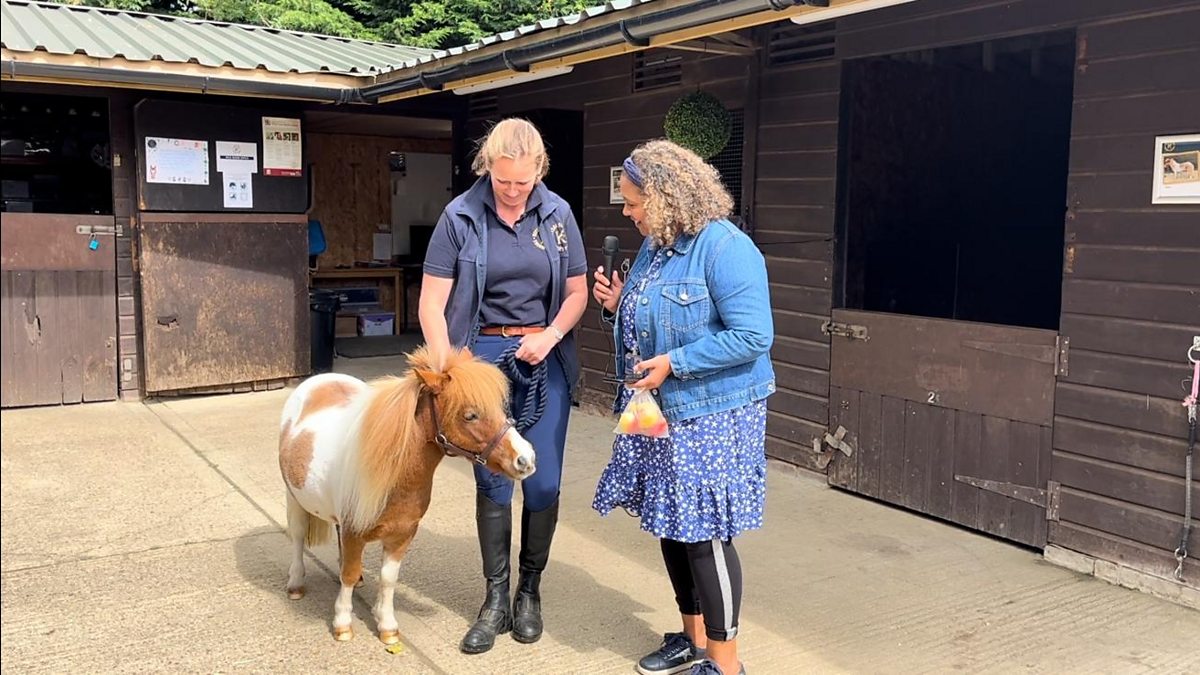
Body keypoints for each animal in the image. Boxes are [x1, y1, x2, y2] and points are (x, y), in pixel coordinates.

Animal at [277, 345, 536, 644]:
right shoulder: (354, 531)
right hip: (294, 498)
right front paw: (343, 624)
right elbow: (348, 576)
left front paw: (387, 625)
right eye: (470, 415)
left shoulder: (402, 535)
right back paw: (296, 584)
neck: (395, 477)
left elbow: (387, 578)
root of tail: (319, 379)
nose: (526, 459)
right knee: (298, 537)